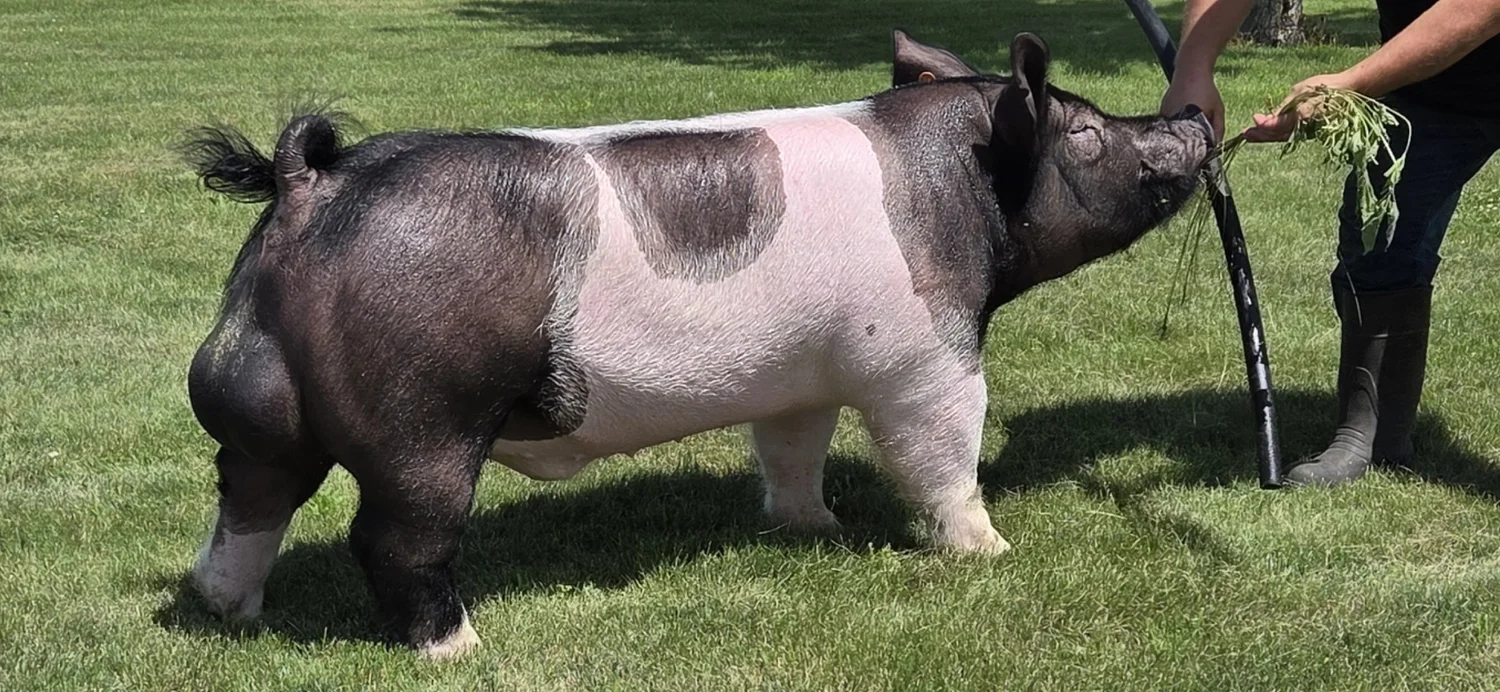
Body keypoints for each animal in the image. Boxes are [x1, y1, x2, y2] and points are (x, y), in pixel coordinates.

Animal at [181, 32, 1212, 658]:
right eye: (1087, 129)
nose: (1193, 117)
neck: (965, 186)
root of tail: (310, 185)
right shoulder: (924, 356)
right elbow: (944, 451)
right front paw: (990, 551)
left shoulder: (805, 373)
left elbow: (792, 451)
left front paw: (817, 529)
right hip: (423, 418)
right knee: (392, 534)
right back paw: (461, 648)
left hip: (257, 403)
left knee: (249, 497)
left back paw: (226, 610)